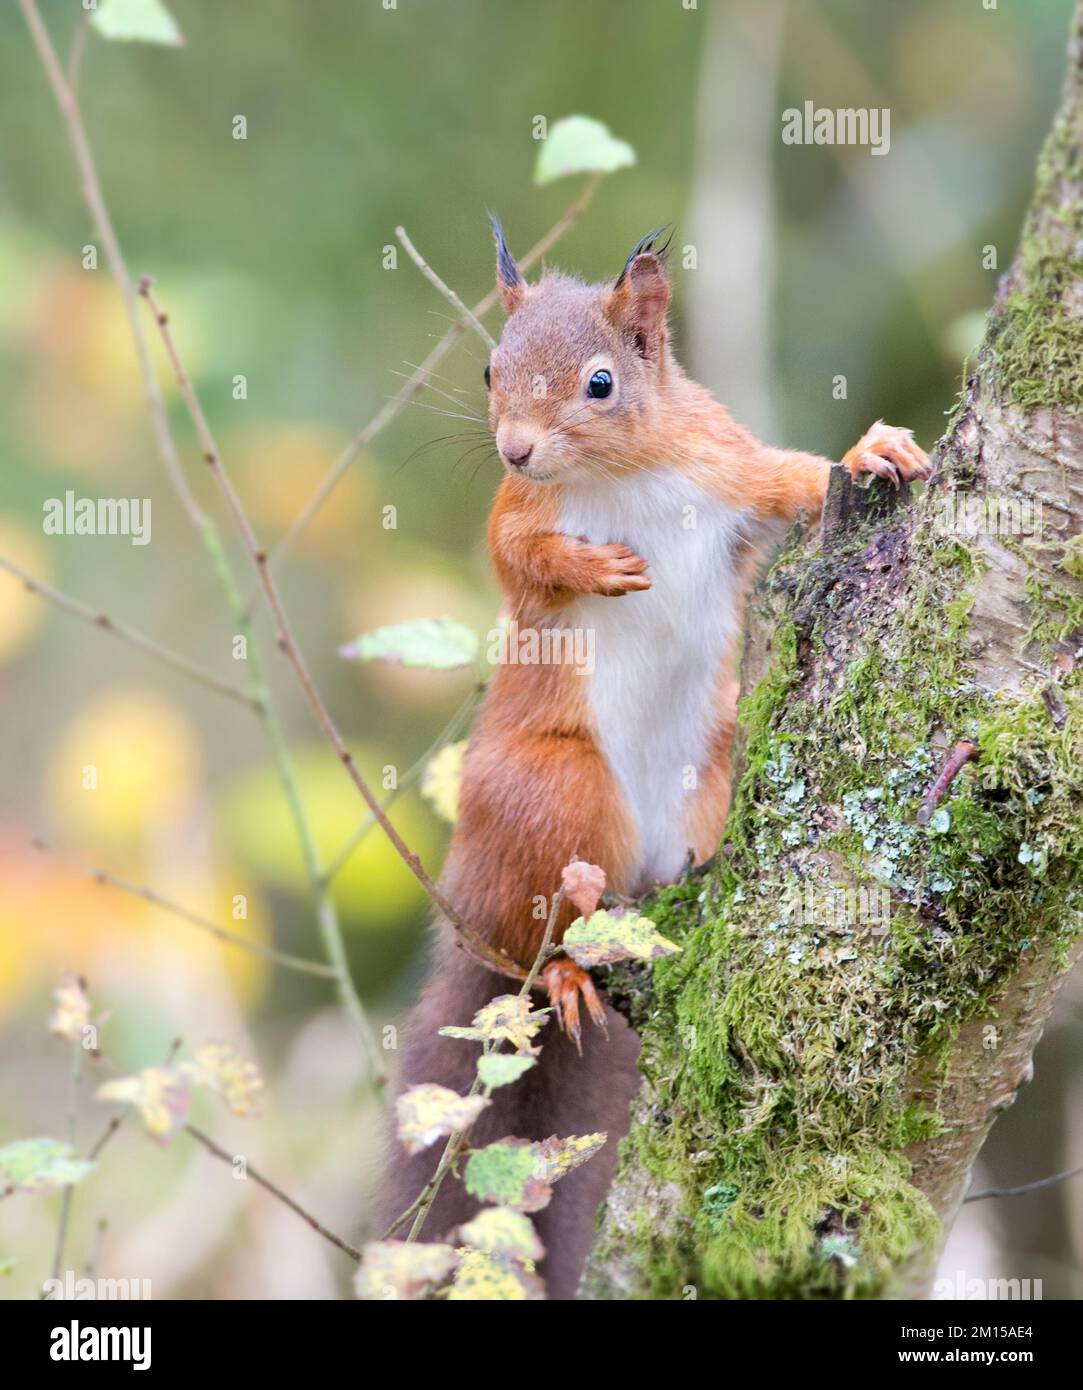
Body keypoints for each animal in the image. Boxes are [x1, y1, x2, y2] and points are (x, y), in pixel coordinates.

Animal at [377, 222, 932, 1298]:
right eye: (490, 369)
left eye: (601, 382)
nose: (514, 446)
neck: (617, 474)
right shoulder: (518, 512)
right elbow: (518, 556)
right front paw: (593, 566)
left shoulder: (726, 468)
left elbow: (795, 480)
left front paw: (872, 448)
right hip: (556, 792)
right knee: (532, 940)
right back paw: (562, 975)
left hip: (701, 787)